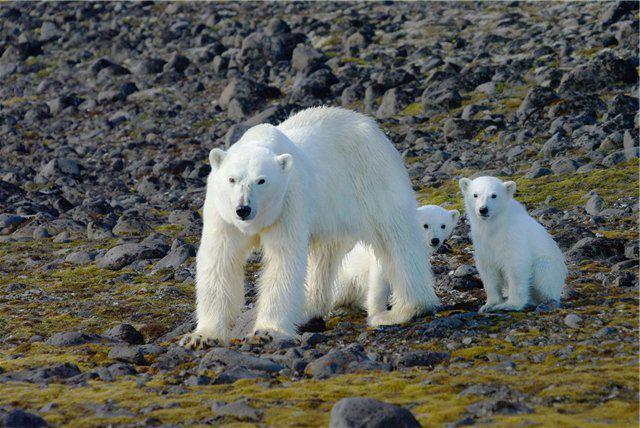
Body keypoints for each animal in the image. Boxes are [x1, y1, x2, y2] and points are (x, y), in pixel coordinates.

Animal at [180, 106, 440, 348]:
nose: (243, 209)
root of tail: (371, 126)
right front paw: (202, 336)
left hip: (372, 178)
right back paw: (308, 309)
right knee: (324, 255)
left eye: (262, 180)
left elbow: (283, 260)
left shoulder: (289, 202)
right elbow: (220, 259)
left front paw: (267, 332)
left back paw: (402, 310)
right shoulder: (221, 213)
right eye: (232, 179)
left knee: (397, 238)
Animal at [458, 176, 568, 312]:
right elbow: (488, 270)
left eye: (494, 195)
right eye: (475, 195)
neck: (495, 225)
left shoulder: (513, 236)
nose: (483, 209)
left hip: (549, 268)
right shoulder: (482, 241)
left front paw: (509, 305)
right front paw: (489, 305)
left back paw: (547, 303)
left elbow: (516, 267)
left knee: (544, 274)